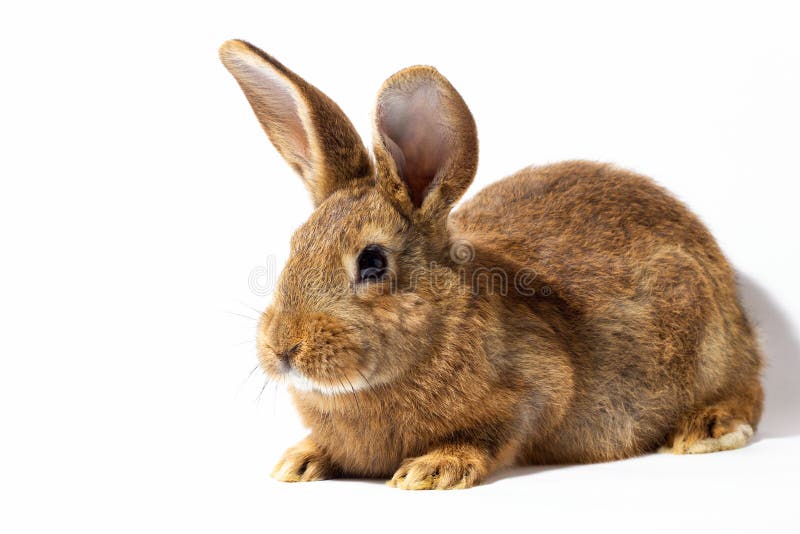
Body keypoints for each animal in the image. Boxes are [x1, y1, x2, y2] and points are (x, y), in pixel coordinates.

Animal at [219, 39, 764, 490]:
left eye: (372, 262)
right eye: (295, 245)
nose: (282, 347)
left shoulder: (535, 390)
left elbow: (494, 433)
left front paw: (431, 470)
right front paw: (299, 461)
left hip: (708, 338)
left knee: (748, 391)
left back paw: (707, 428)